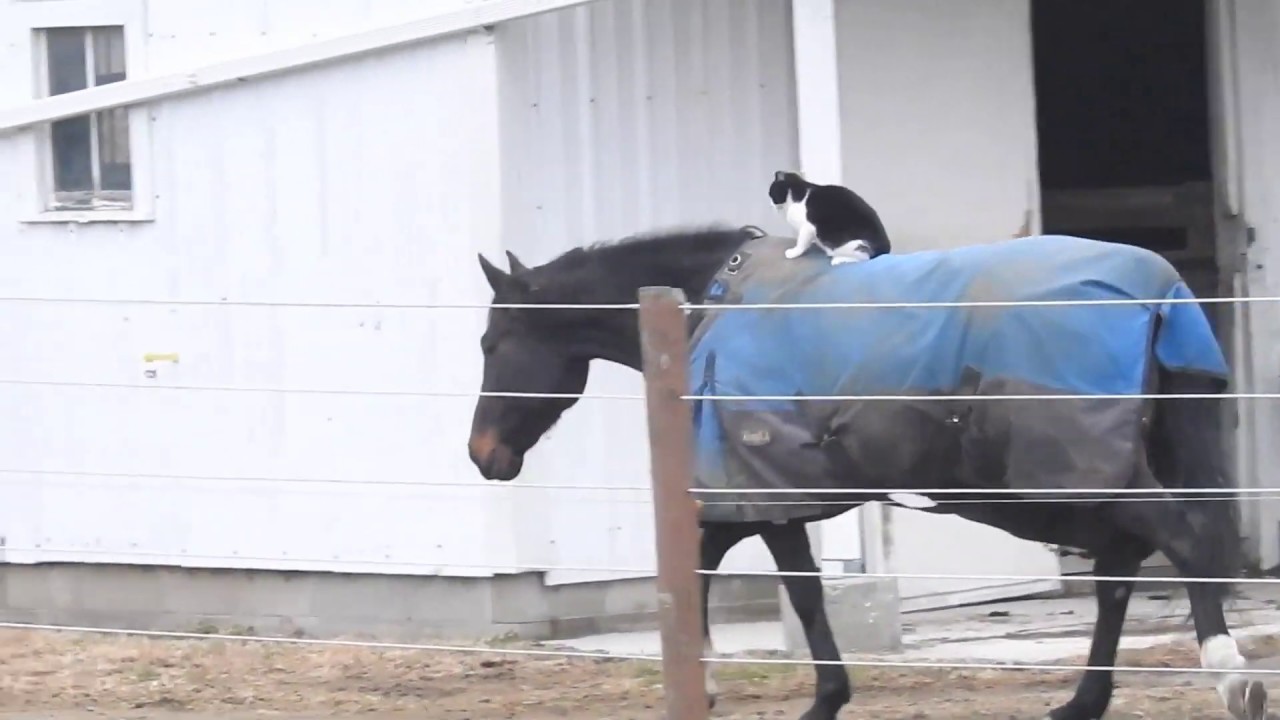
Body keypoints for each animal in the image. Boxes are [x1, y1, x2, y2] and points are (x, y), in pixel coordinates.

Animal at [466, 224, 1266, 720]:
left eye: (491, 342)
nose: (482, 455)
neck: (711, 309)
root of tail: (1158, 292)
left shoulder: (760, 493)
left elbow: (786, 589)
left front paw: (812, 695)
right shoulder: (755, 493)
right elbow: (718, 570)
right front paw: (725, 682)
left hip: (1090, 476)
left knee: (1182, 543)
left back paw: (1232, 676)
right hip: (1099, 478)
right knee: (1119, 573)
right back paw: (1082, 702)